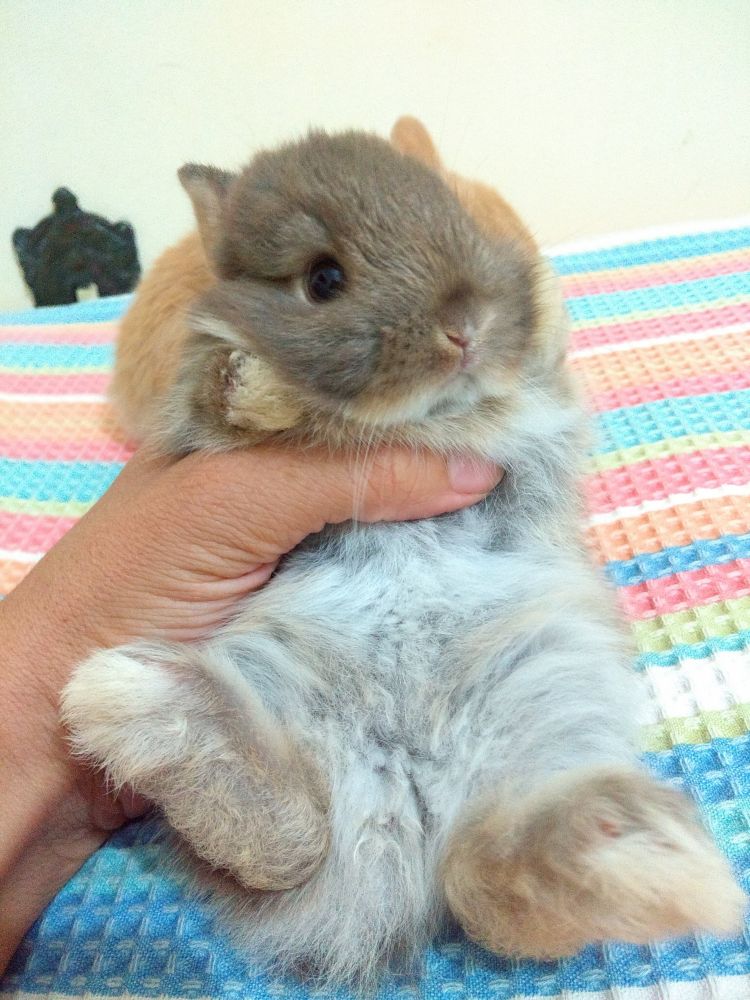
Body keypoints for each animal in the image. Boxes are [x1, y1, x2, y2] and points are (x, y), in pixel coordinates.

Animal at [62, 118, 746, 987]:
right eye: (323, 279)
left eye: (458, 220)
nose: (466, 326)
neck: (427, 417)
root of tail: (404, 816)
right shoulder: (198, 427)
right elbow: (219, 392)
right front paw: (262, 385)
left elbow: (538, 381)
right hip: (283, 695)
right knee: (302, 841)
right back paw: (145, 703)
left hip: (541, 704)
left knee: (482, 877)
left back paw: (627, 847)